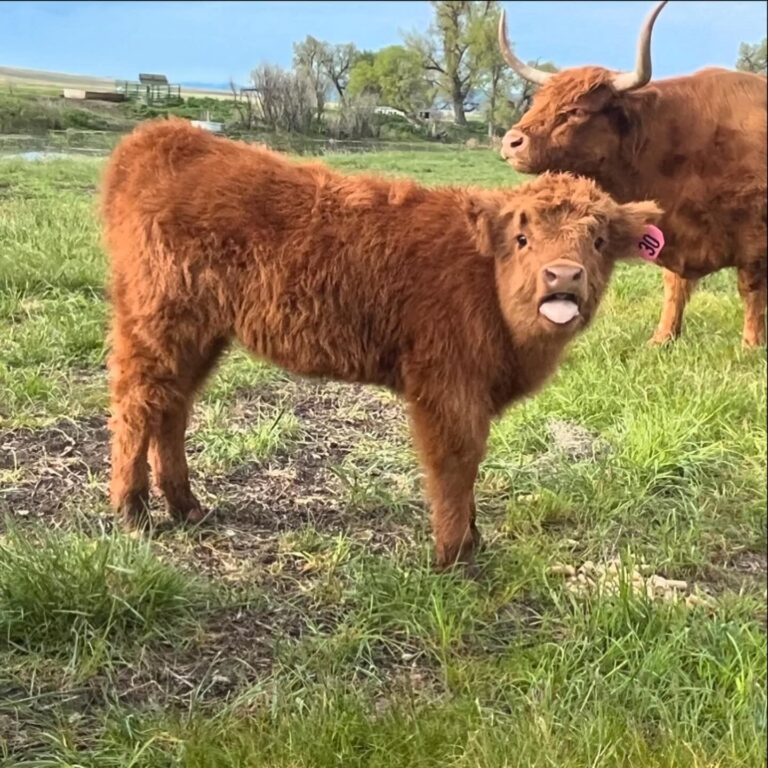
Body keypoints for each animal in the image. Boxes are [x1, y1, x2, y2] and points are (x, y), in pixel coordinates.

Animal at [101, 118, 661, 571]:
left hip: (201, 333)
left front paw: (473, 540)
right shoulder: (446, 383)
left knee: (172, 406)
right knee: (137, 402)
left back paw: (184, 506)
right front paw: (456, 556)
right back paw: (132, 509)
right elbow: (456, 462)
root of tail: (165, 137)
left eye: (598, 240)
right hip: (157, 320)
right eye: (522, 239)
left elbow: (470, 465)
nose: (563, 276)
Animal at [498, 0, 767, 348]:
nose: (511, 141)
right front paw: (662, 338)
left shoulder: (754, 239)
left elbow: (751, 291)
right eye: (538, 101)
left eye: (577, 111)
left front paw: (751, 345)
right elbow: (674, 288)